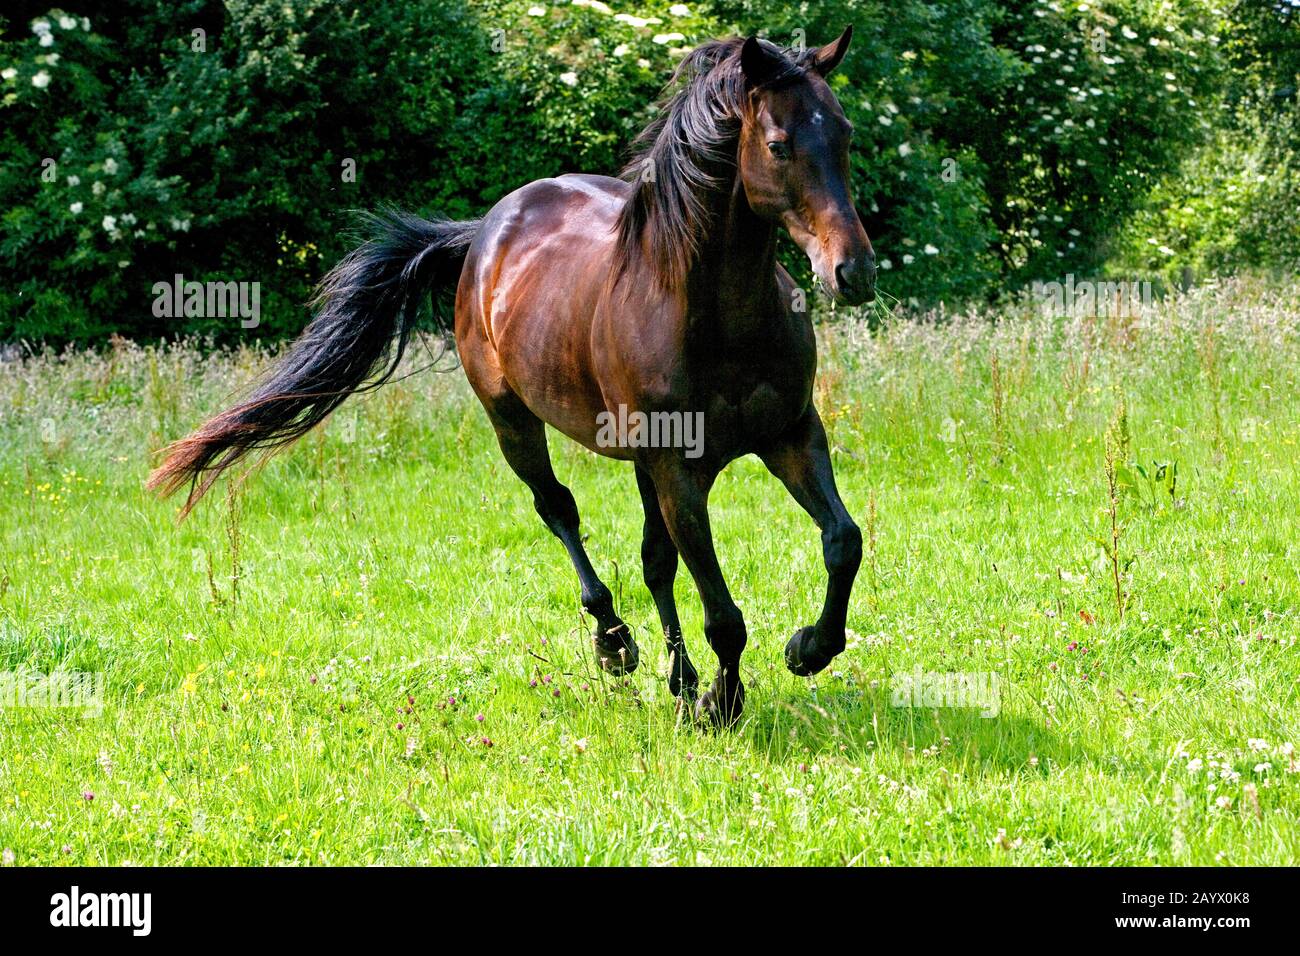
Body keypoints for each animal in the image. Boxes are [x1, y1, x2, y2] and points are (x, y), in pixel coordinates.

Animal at [148, 29, 877, 728]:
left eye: (844, 133)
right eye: (778, 144)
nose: (854, 272)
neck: (711, 314)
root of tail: (485, 232)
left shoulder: (789, 434)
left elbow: (843, 541)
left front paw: (807, 650)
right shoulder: (680, 470)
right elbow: (723, 614)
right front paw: (722, 706)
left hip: (641, 460)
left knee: (654, 561)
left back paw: (675, 678)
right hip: (514, 422)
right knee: (559, 510)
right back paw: (614, 644)